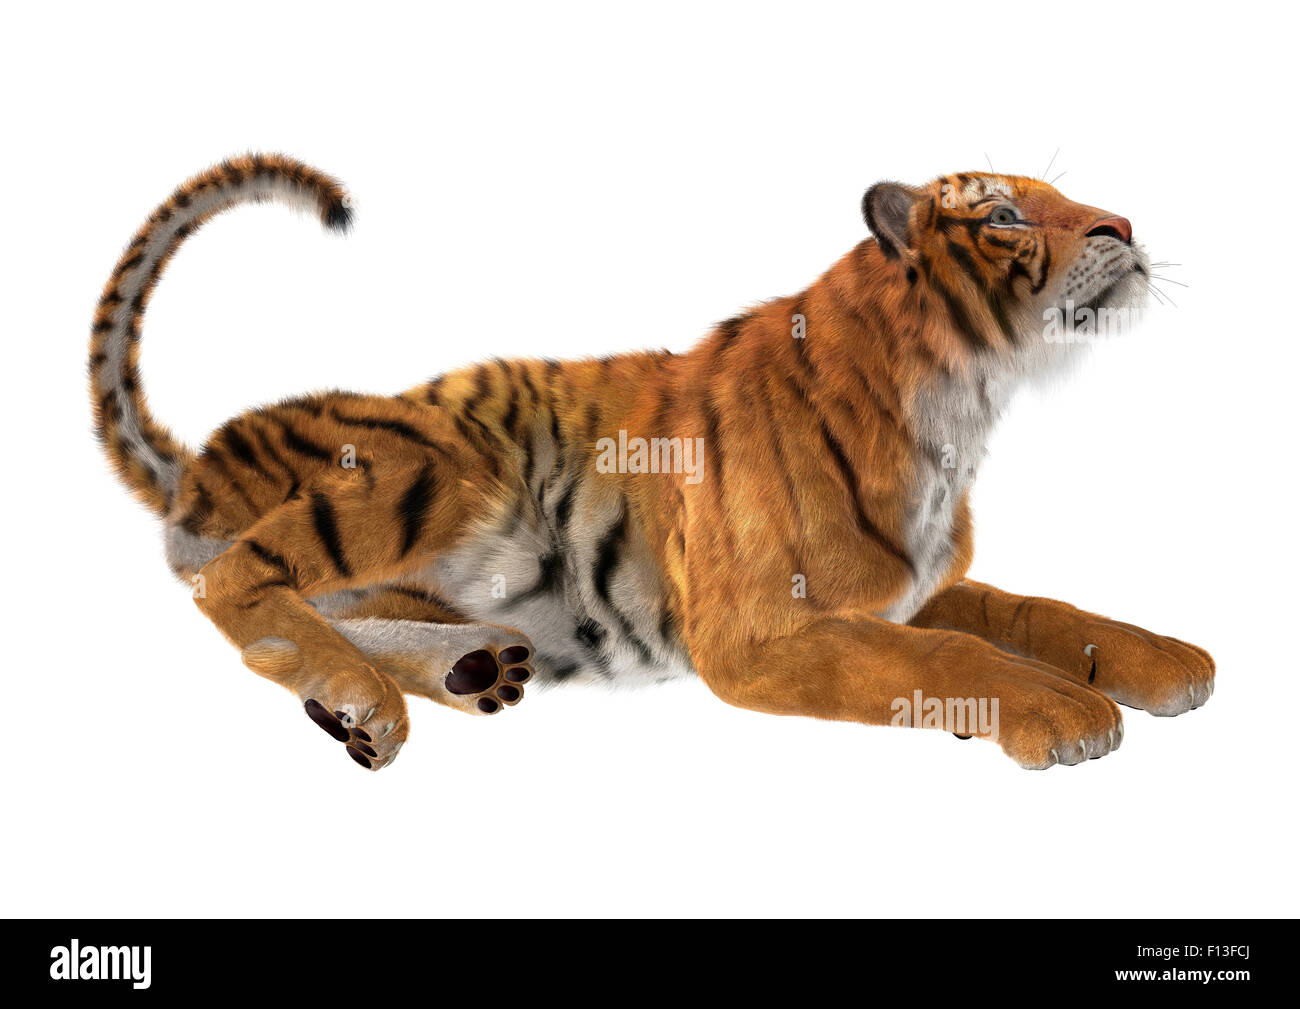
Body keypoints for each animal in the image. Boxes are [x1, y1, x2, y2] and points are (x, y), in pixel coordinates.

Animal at [90, 153, 1214, 771]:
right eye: (1005, 216)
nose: (1124, 225)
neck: (964, 400)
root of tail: (205, 461)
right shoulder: (759, 632)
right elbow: (945, 659)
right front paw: (1068, 714)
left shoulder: (916, 584)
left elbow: (1037, 612)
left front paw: (1166, 662)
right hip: (436, 466)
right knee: (240, 582)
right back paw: (370, 698)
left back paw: (464, 671)